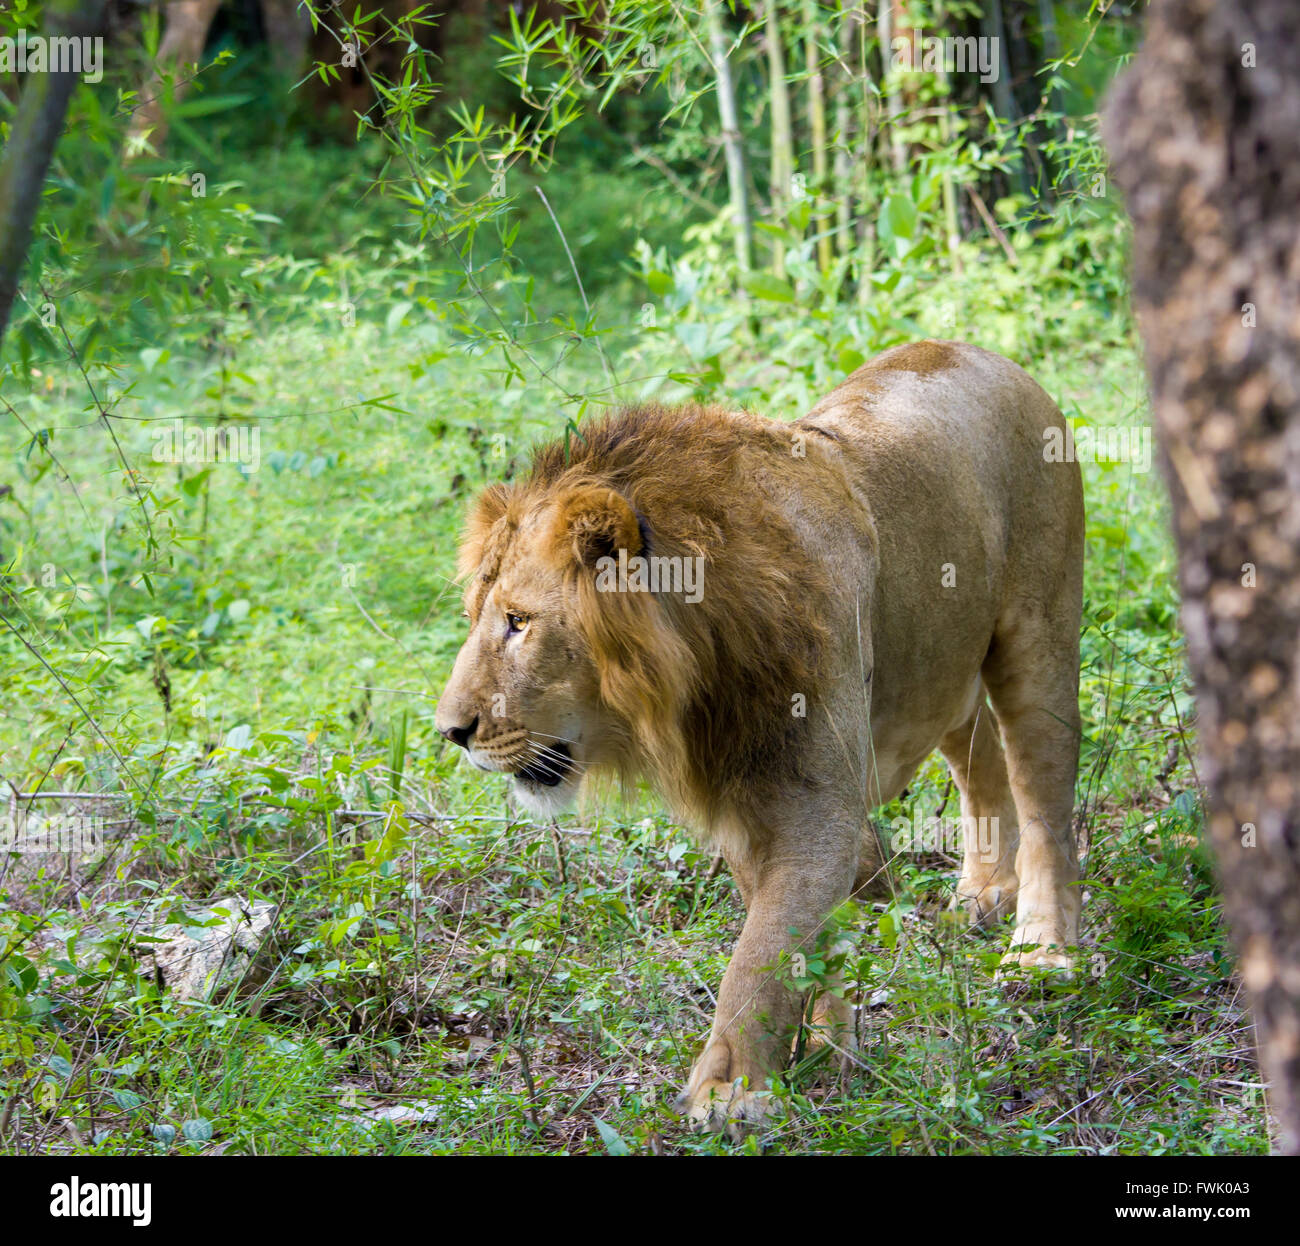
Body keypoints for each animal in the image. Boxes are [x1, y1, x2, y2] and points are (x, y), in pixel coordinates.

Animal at [435, 339, 1084, 1135]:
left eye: (519, 622)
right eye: (479, 617)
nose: (451, 732)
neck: (699, 669)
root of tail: (982, 351)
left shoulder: (815, 808)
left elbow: (762, 951)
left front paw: (732, 1090)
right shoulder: (744, 806)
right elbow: (807, 941)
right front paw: (833, 1050)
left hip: (1038, 634)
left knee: (1042, 785)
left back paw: (1044, 952)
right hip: (936, 660)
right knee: (977, 745)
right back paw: (987, 890)